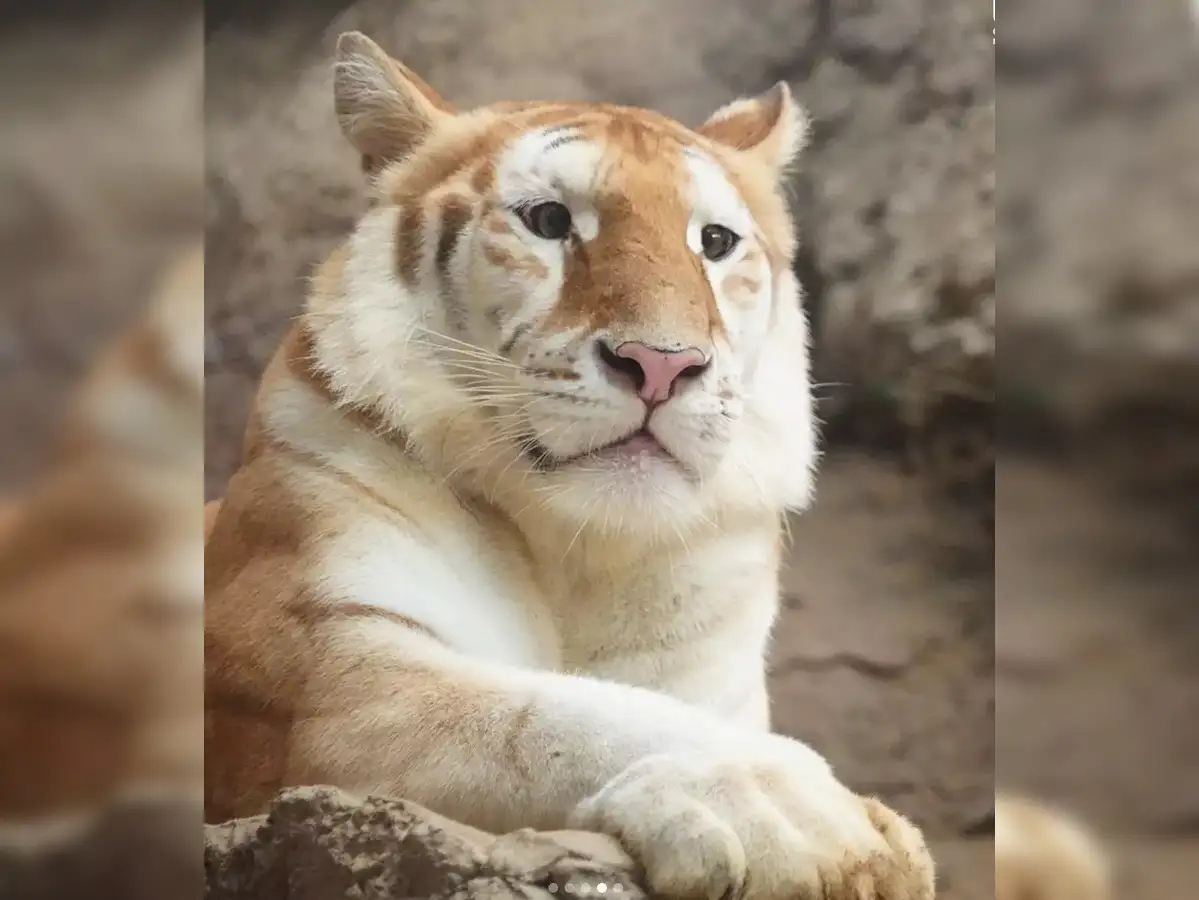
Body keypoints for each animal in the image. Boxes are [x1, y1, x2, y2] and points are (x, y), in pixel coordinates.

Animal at [203, 31, 935, 899]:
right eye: (549, 221)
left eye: (713, 242)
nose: (661, 365)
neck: (581, 553)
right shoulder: (316, 679)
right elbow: (550, 715)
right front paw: (806, 819)